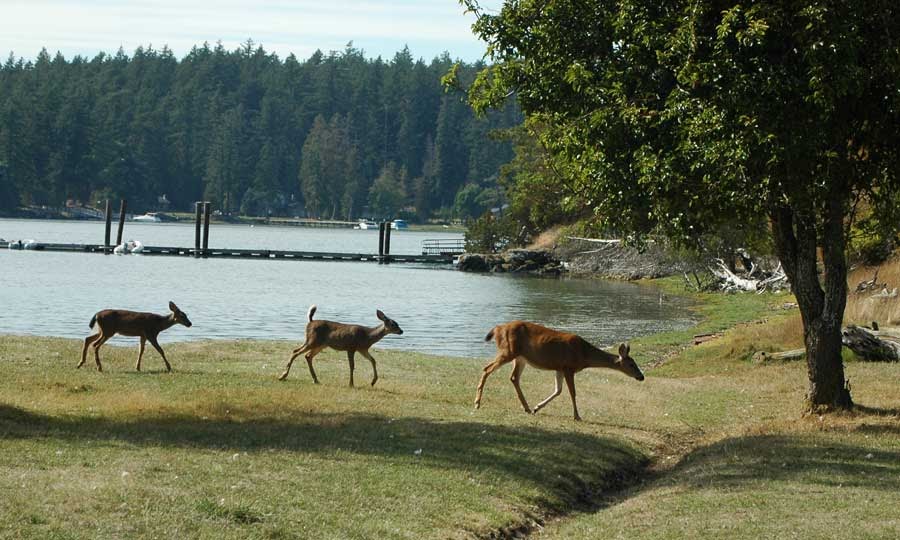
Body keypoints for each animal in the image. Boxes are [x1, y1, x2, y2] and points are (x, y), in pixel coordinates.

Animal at [475, 320, 645, 421]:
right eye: (631, 364)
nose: (641, 376)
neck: (584, 355)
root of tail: (497, 329)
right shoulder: (568, 367)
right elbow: (572, 392)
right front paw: (577, 416)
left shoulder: (560, 368)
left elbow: (558, 390)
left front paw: (537, 407)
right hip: (508, 351)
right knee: (487, 368)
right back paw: (477, 403)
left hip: (520, 357)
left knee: (513, 377)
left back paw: (527, 408)